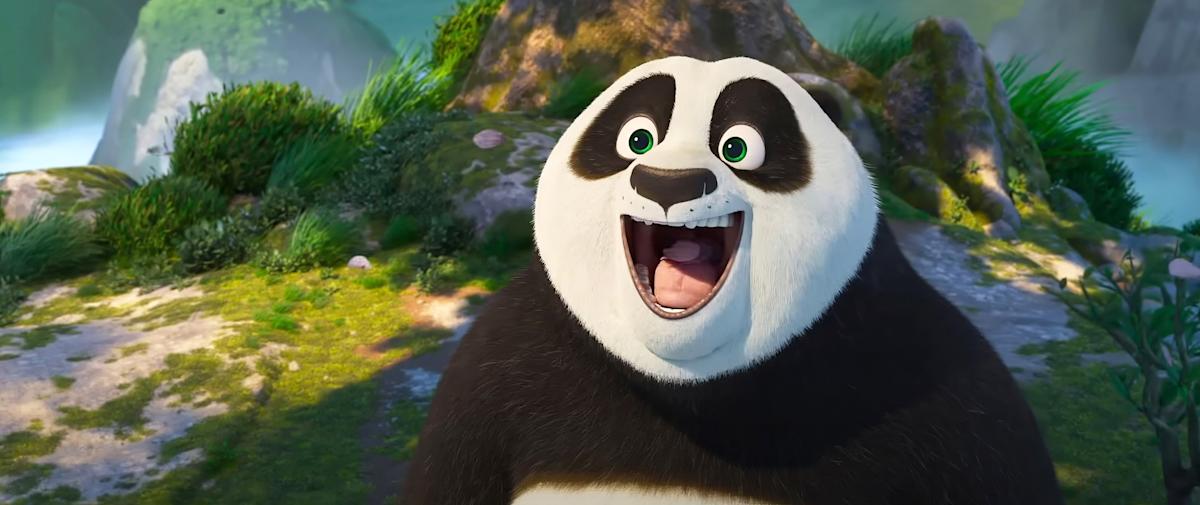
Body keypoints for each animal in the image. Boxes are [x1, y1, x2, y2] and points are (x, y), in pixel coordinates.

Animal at [402, 56, 1063, 504]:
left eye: (738, 147)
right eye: (637, 138)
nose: (667, 183)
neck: (688, 382)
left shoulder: (938, 385)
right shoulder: (499, 369)